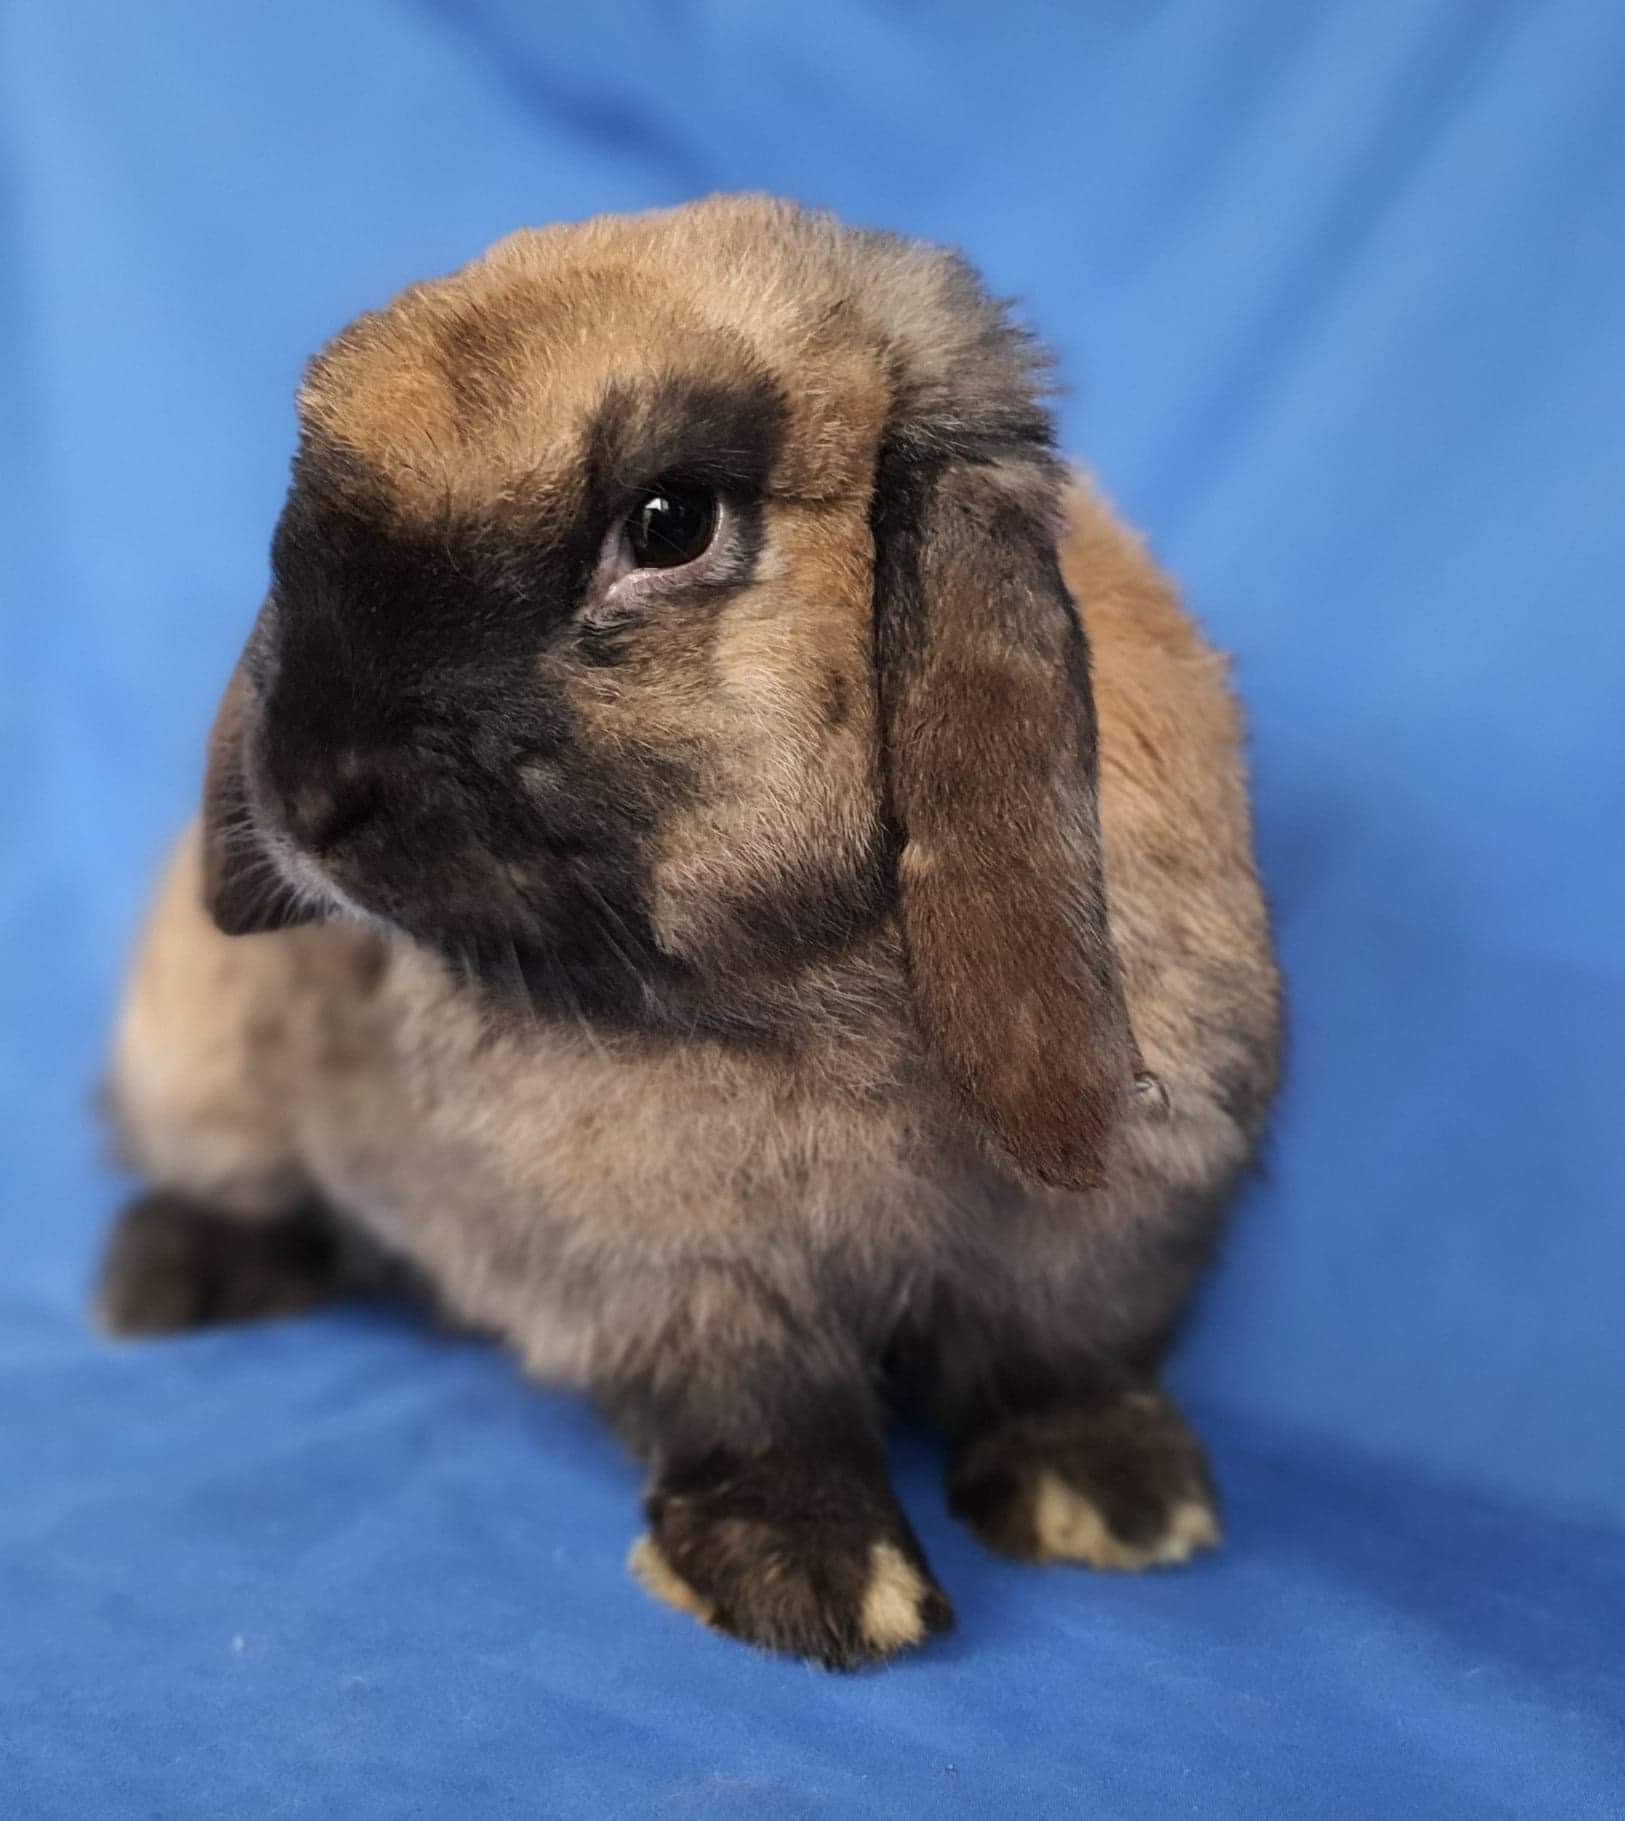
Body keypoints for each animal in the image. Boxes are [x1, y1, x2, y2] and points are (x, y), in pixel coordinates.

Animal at [98, 194, 1281, 1668]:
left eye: (668, 522)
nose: (306, 793)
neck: (813, 969)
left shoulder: (1106, 1229)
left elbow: (1058, 1354)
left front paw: (1111, 1501)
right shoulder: (679, 1270)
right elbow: (758, 1407)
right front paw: (812, 1582)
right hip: (200, 1065)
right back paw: (168, 1283)